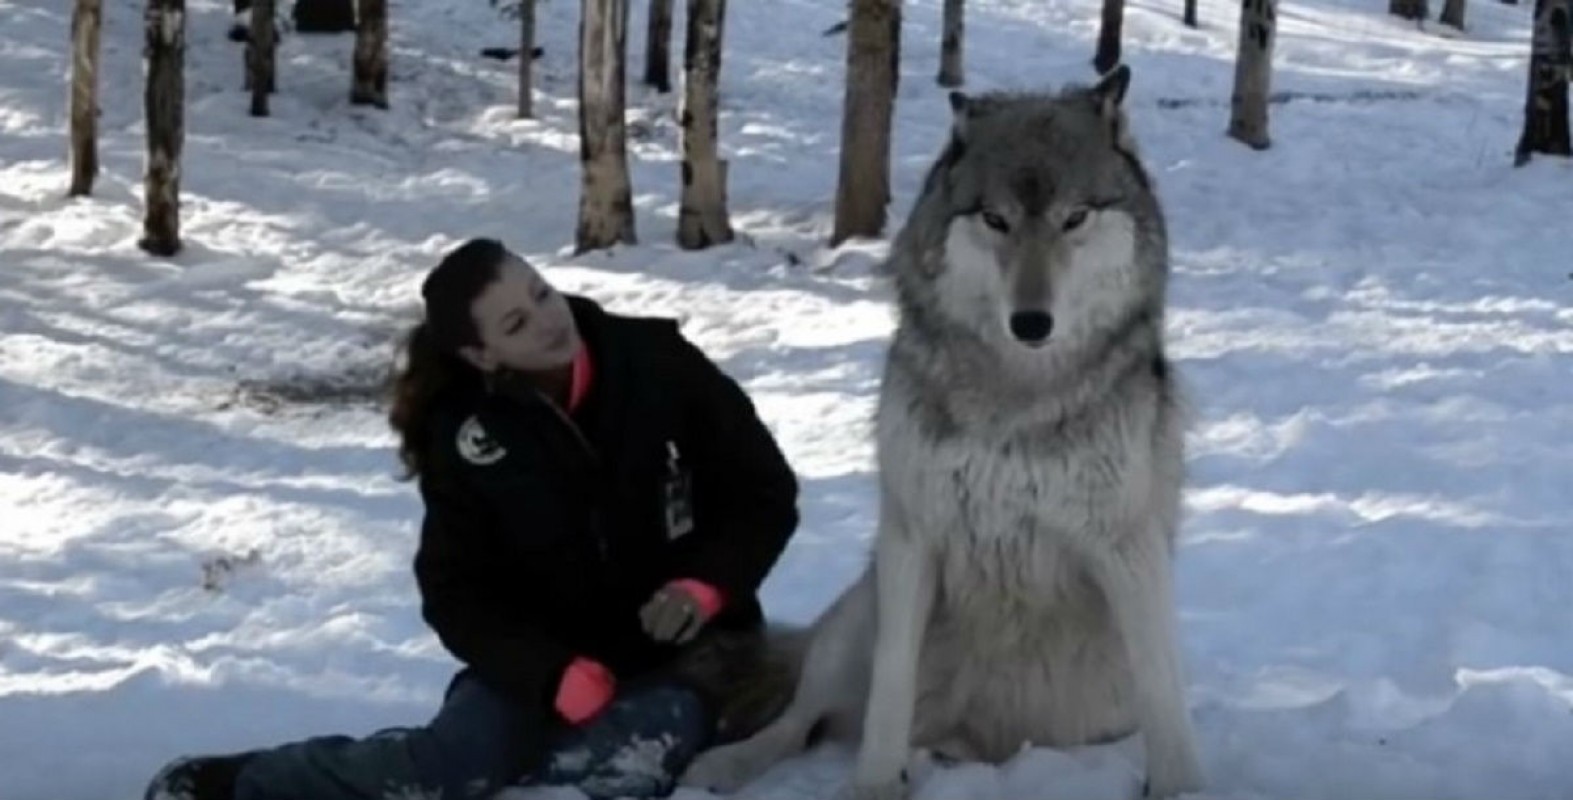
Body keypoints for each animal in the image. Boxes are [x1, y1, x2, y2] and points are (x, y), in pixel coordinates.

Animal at [679, 65, 1205, 800]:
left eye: (1074, 218)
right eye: (995, 219)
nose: (1031, 323)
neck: (1016, 399)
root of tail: (982, 742)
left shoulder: (1128, 549)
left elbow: (1166, 698)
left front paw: (1179, 786)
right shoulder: (912, 537)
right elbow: (888, 692)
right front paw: (874, 787)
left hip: (1100, 702)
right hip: (856, 616)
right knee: (801, 719)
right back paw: (727, 766)